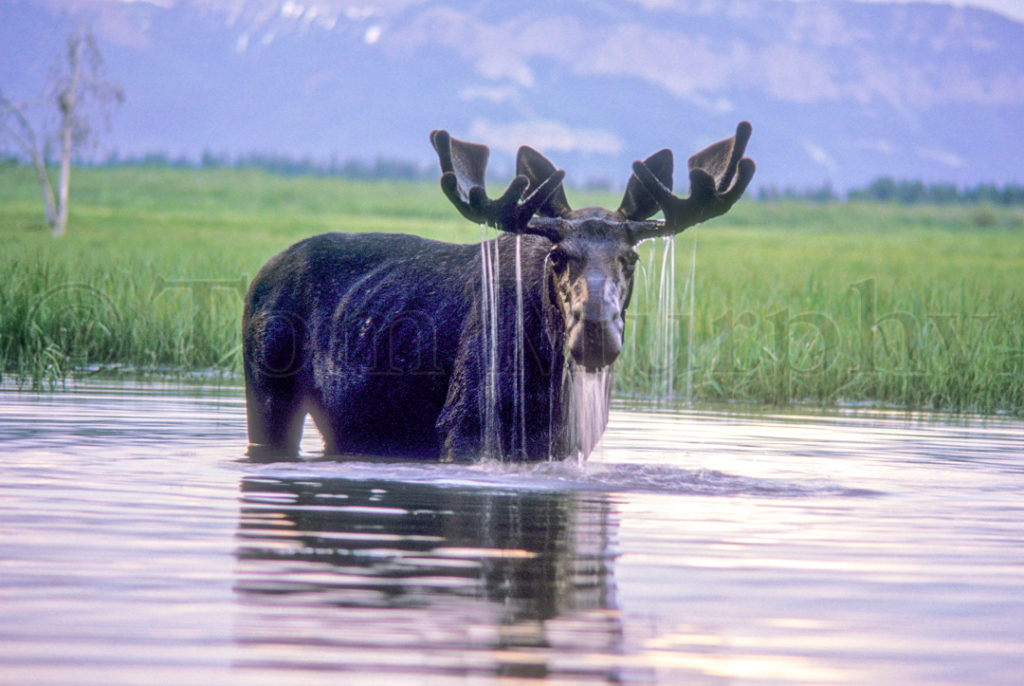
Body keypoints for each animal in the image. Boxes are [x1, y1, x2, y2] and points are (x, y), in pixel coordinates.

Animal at [242, 122, 755, 461]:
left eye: (631, 258)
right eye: (558, 256)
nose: (594, 333)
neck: (546, 372)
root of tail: (258, 277)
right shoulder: (465, 427)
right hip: (266, 393)